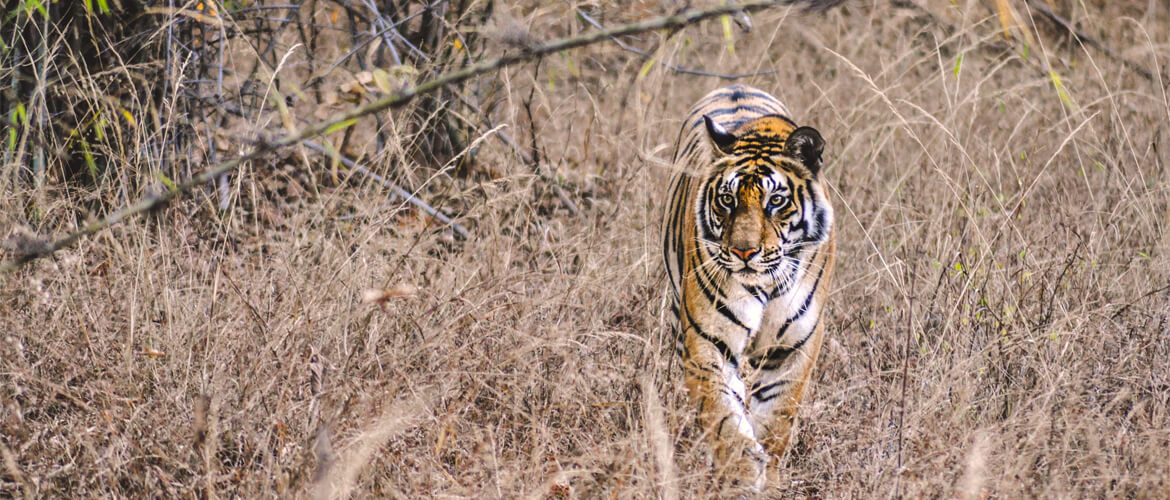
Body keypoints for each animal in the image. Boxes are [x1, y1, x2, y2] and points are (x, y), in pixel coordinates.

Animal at [661, 84, 835, 489]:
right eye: (727, 199)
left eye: (776, 201)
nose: (743, 252)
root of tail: (733, 86)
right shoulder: (708, 343)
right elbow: (723, 419)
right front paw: (741, 474)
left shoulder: (793, 349)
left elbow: (776, 420)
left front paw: (767, 475)